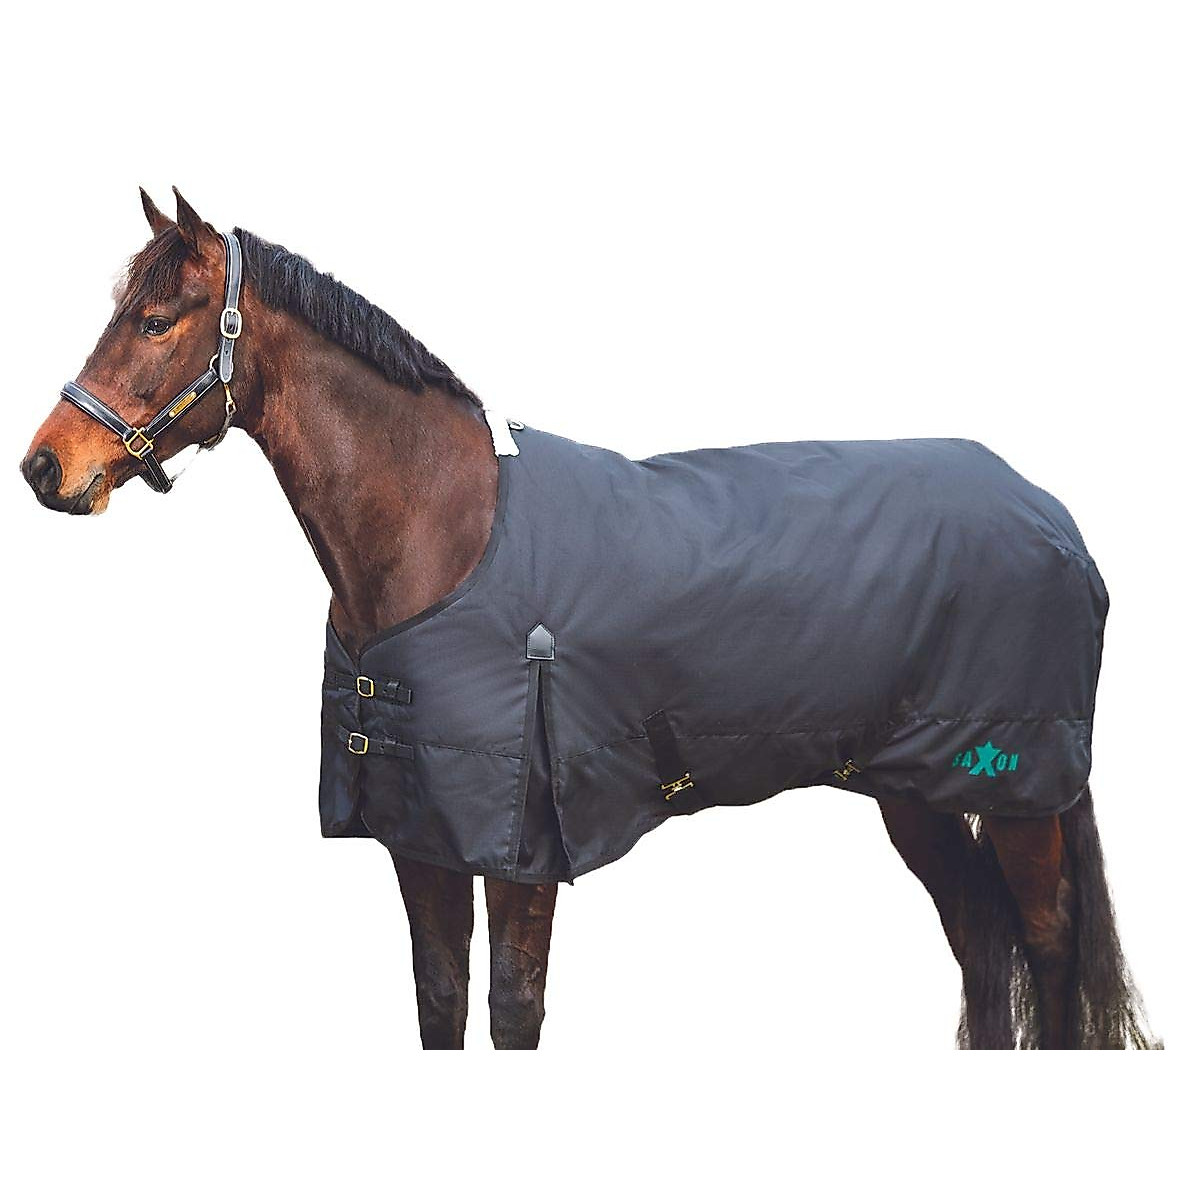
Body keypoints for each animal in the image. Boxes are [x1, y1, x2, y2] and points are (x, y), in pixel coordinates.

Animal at [21, 189, 1159, 1050]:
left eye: (158, 320)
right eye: (121, 307)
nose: (45, 467)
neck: (442, 529)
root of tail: (1051, 514)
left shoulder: (525, 846)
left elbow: (511, 1012)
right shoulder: (421, 833)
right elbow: (440, 1004)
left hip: (1017, 788)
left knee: (1048, 943)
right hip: (911, 788)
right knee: (981, 938)